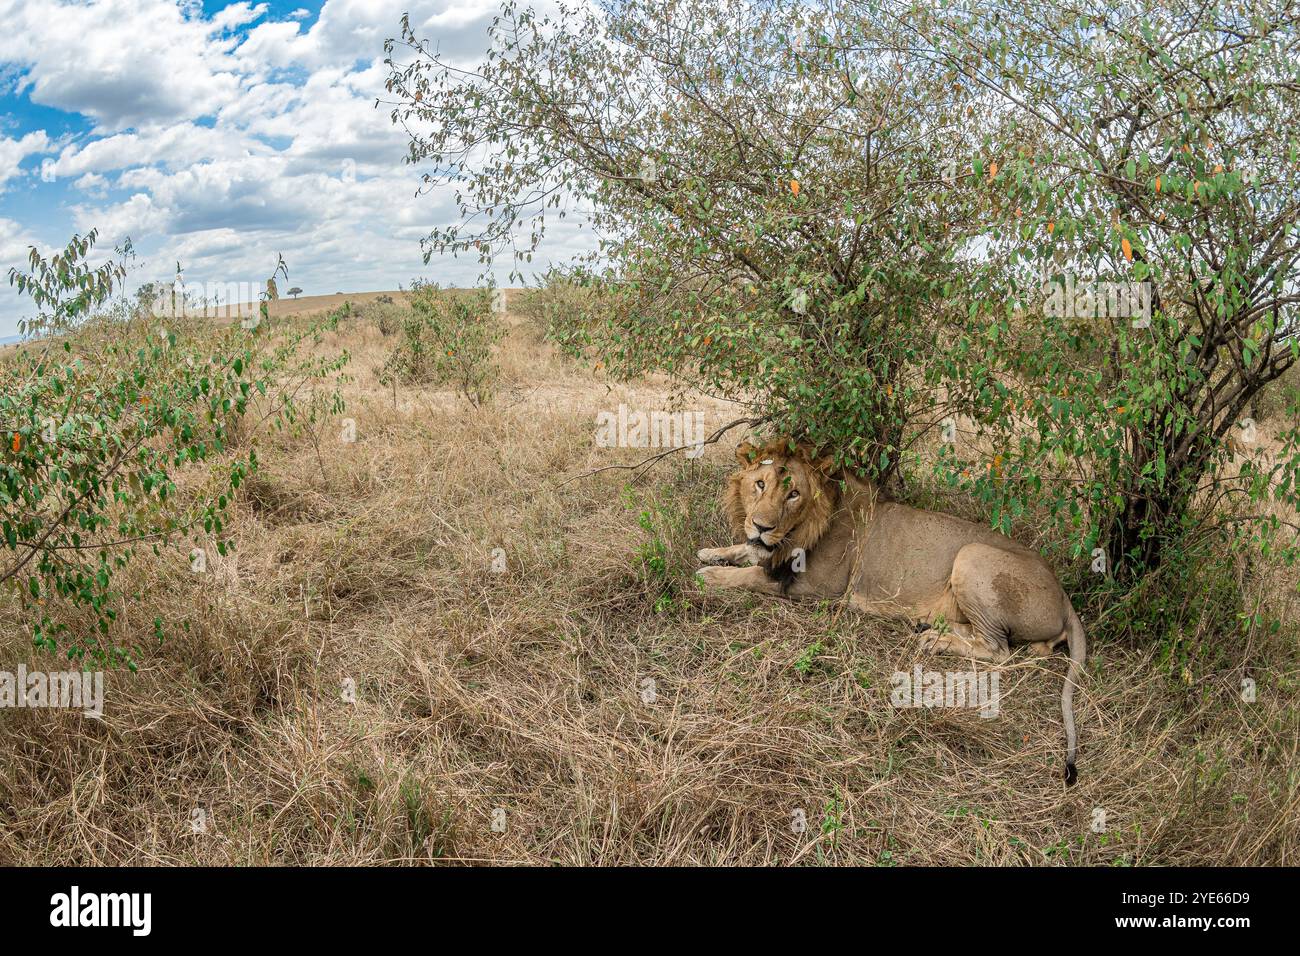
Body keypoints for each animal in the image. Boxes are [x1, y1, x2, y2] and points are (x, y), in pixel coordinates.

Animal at [695, 439, 1087, 784]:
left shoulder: (817, 589)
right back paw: (931, 629)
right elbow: (746, 552)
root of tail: (1064, 595)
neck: (805, 527)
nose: (762, 526)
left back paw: (936, 642)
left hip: (972, 554)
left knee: (999, 649)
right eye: (759, 484)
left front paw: (709, 575)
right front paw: (711, 552)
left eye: (793, 494)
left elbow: (750, 575)